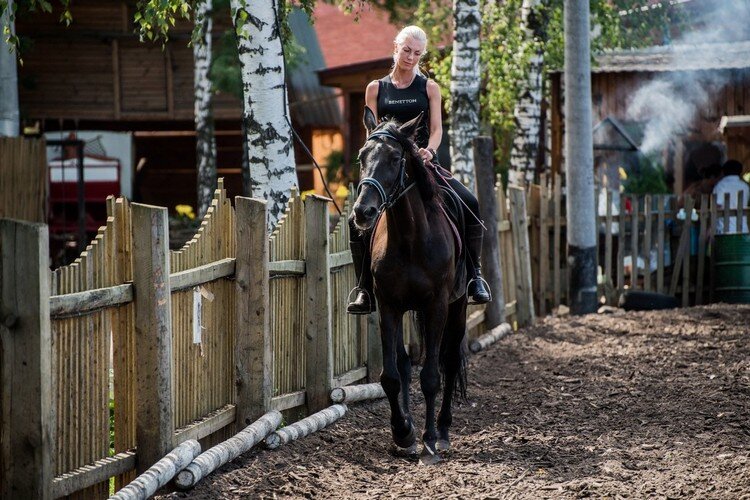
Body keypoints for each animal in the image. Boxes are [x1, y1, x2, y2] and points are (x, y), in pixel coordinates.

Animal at [354, 107, 470, 462]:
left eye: (395, 158)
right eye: (362, 156)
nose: (362, 212)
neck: (409, 237)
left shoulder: (437, 306)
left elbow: (431, 376)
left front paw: (429, 438)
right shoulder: (389, 306)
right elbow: (391, 375)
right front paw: (403, 432)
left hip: (458, 307)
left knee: (449, 361)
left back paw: (442, 431)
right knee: (405, 365)